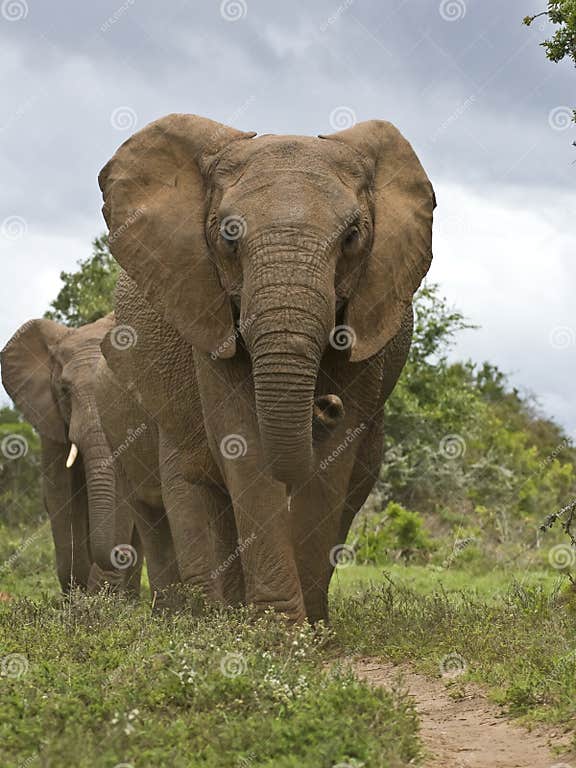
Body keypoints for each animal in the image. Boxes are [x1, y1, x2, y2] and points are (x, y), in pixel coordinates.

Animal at [1, 314, 142, 593]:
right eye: (65, 390)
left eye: (121, 388)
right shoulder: (51, 423)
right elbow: (60, 494)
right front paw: (79, 592)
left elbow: (123, 499)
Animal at [97, 114, 435, 622]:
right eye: (228, 235)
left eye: (352, 237)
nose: (324, 404)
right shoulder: (206, 310)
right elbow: (241, 440)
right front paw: (276, 630)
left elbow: (333, 458)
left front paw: (310, 629)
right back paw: (218, 617)